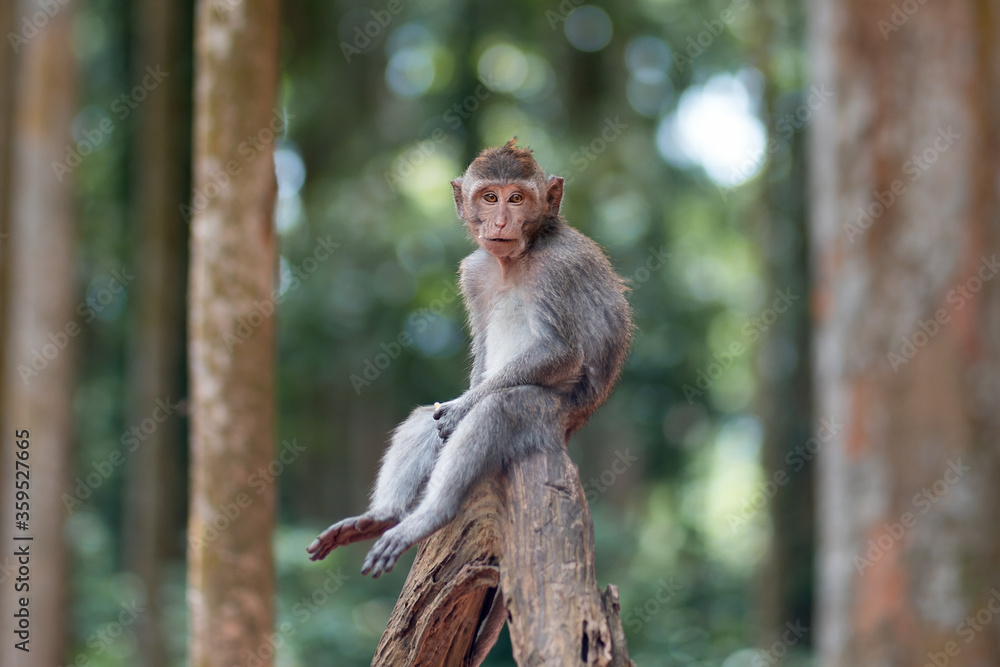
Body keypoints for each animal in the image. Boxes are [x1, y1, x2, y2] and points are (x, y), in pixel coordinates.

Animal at [307, 138, 632, 579]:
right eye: (490, 197)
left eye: (517, 198)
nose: (500, 222)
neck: (518, 256)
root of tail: (572, 429)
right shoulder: (474, 271)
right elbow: (478, 356)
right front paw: (458, 405)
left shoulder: (557, 270)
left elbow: (560, 352)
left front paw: (464, 409)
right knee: (429, 417)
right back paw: (383, 517)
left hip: (549, 418)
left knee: (500, 409)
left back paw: (433, 512)